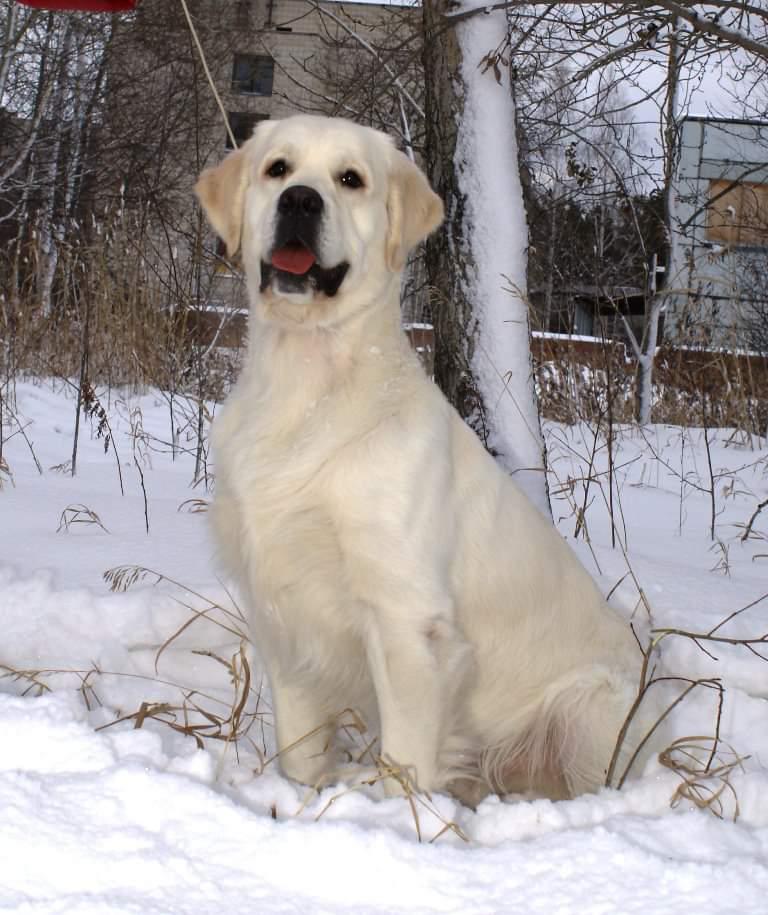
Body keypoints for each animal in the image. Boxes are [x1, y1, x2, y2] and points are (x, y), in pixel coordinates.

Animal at [195, 116, 644, 800]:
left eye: (350, 179)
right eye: (278, 168)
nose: (300, 200)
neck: (308, 387)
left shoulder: (408, 619)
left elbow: (403, 758)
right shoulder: (284, 611)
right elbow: (300, 750)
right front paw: (302, 797)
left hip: (588, 712)